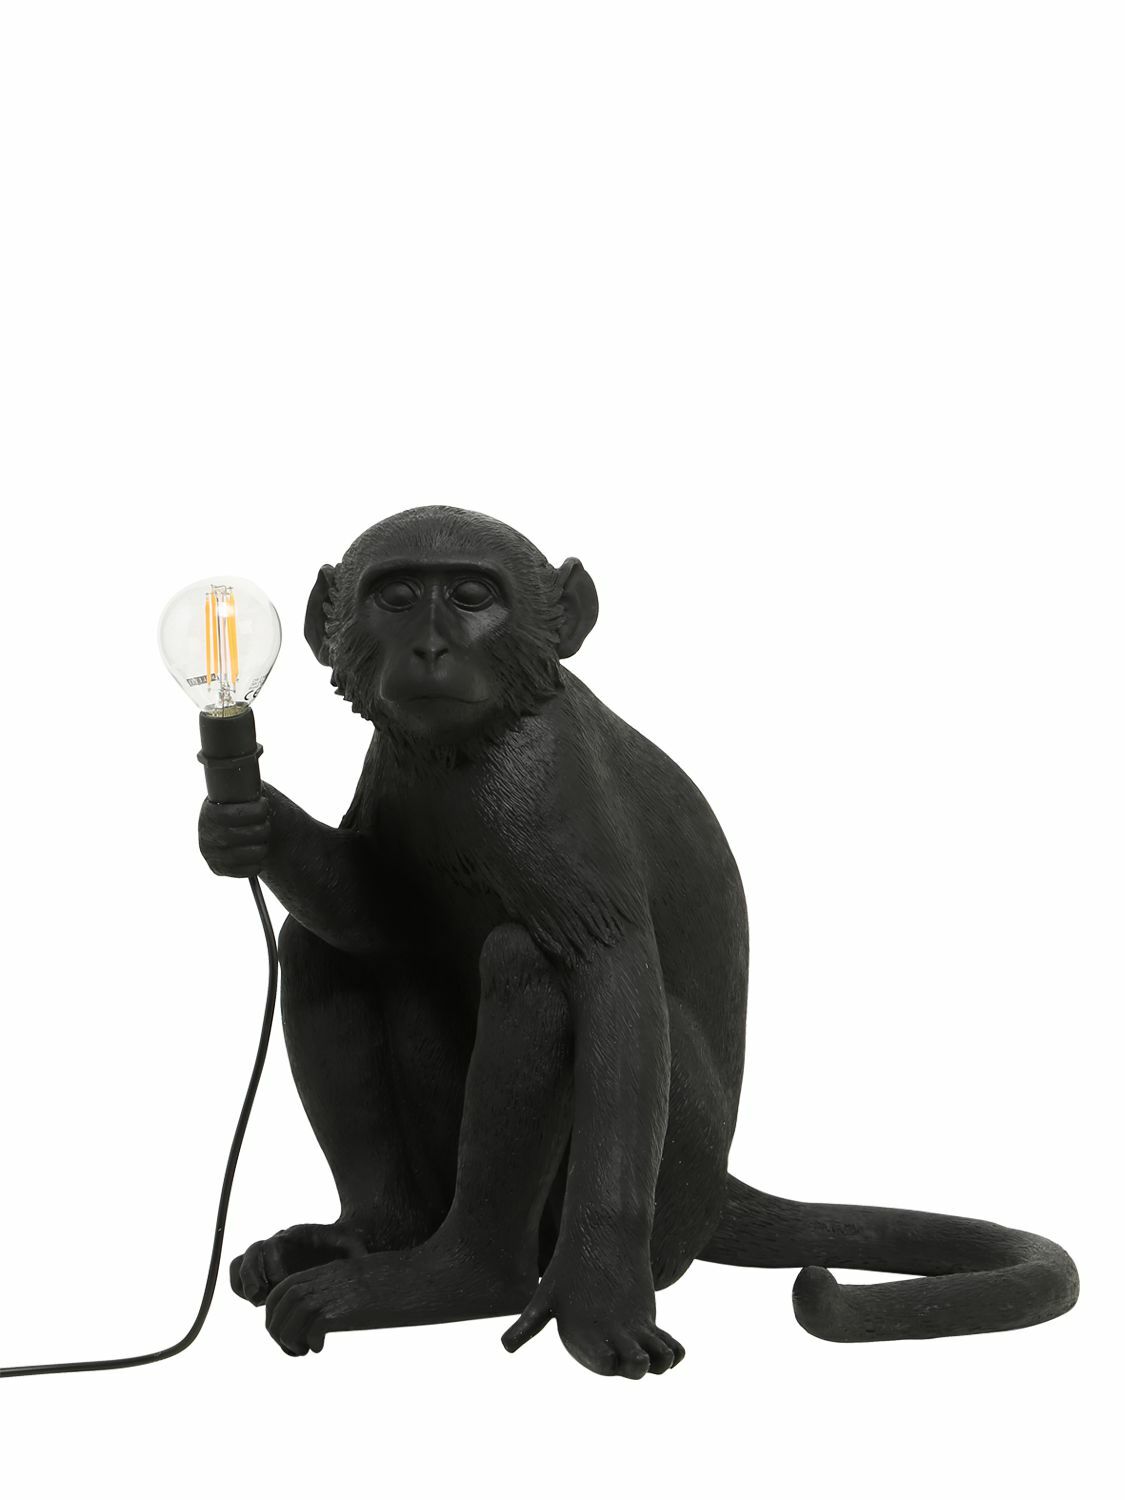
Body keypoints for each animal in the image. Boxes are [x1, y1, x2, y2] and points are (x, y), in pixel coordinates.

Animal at [199, 506, 1078, 1376]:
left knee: (528, 968)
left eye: (473, 596)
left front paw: (598, 1300)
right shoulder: (392, 765)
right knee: (321, 948)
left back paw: (462, 1276)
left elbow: (608, 980)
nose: (430, 648)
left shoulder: (545, 782)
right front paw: (251, 823)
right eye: (397, 596)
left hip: (672, 1191)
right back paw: (373, 1236)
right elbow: (377, 914)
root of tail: (718, 1188)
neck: (462, 748)